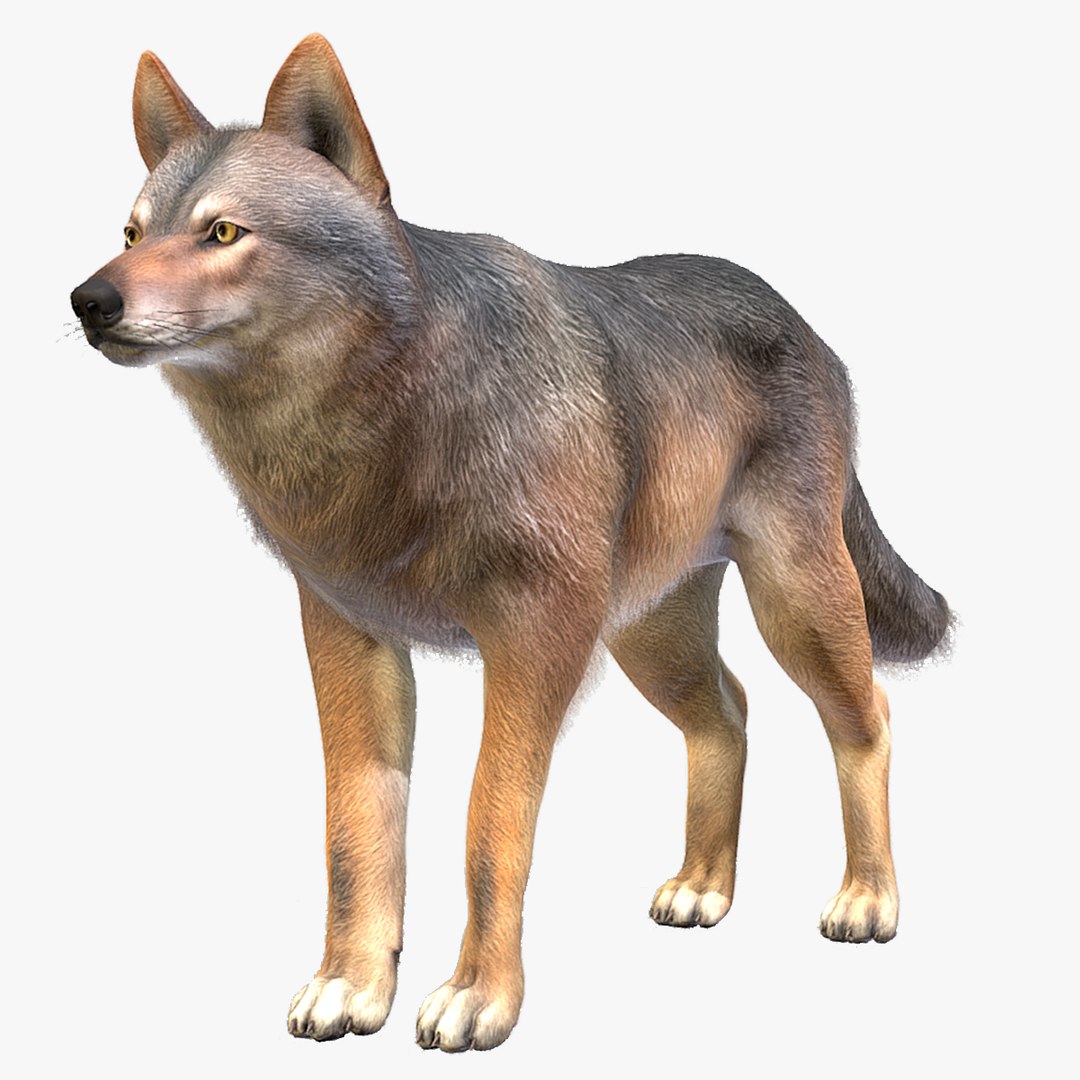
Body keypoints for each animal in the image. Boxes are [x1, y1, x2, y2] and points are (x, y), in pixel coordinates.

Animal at [70, 35, 951, 1052]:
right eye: (132, 233)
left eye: (222, 233)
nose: (88, 300)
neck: (388, 428)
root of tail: (807, 327)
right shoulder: (350, 641)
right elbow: (352, 833)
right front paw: (350, 985)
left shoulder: (534, 643)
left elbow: (490, 828)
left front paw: (478, 997)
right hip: (649, 635)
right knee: (727, 712)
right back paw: (704, 888)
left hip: (793, 605)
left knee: (867, 714)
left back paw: (868, 898)